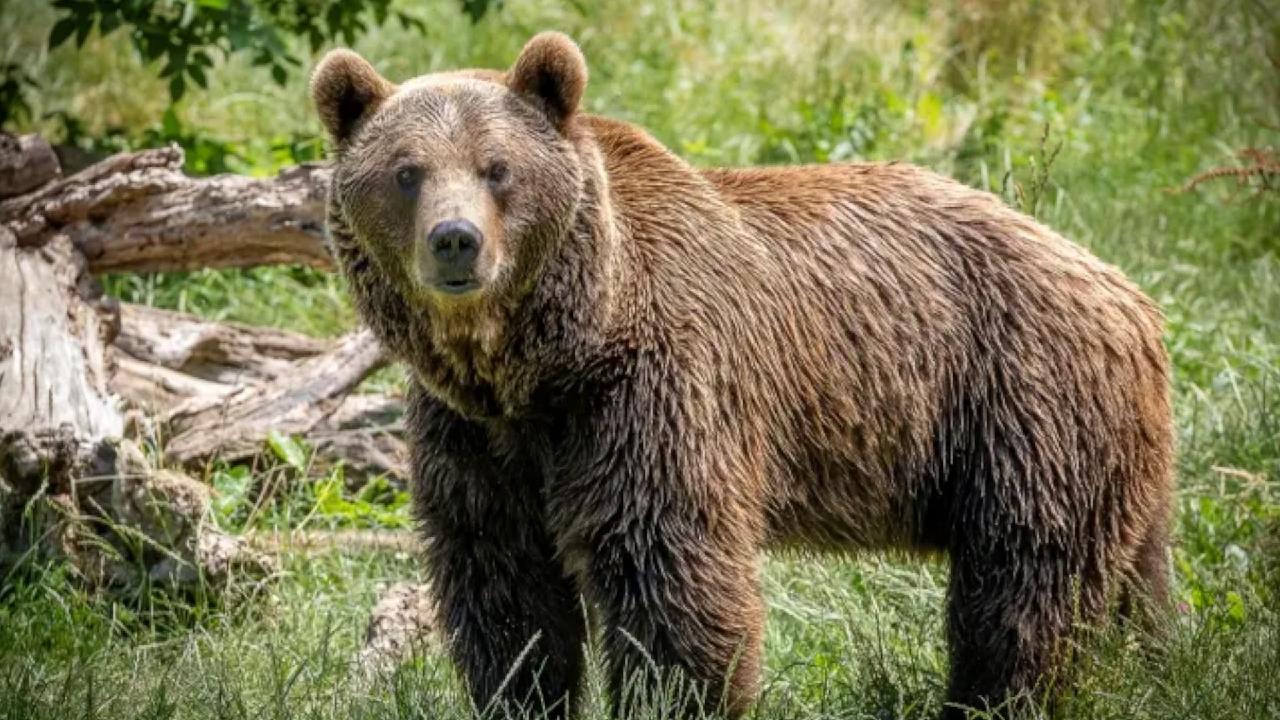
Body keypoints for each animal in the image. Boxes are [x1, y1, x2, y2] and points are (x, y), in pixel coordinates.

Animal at [311, 32, 1174, 719]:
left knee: (1022, 589)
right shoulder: (476, 433)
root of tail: (1132, 299)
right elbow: (502, 578)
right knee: (1138, 582)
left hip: (1022, 403)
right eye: (408, 172)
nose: (455, 241)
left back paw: (987, 698)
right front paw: (524, 692)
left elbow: (667, 570)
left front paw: (673, 698)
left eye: (498, 169)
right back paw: (1163, 664)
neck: (542, 359)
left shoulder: (652, 388)